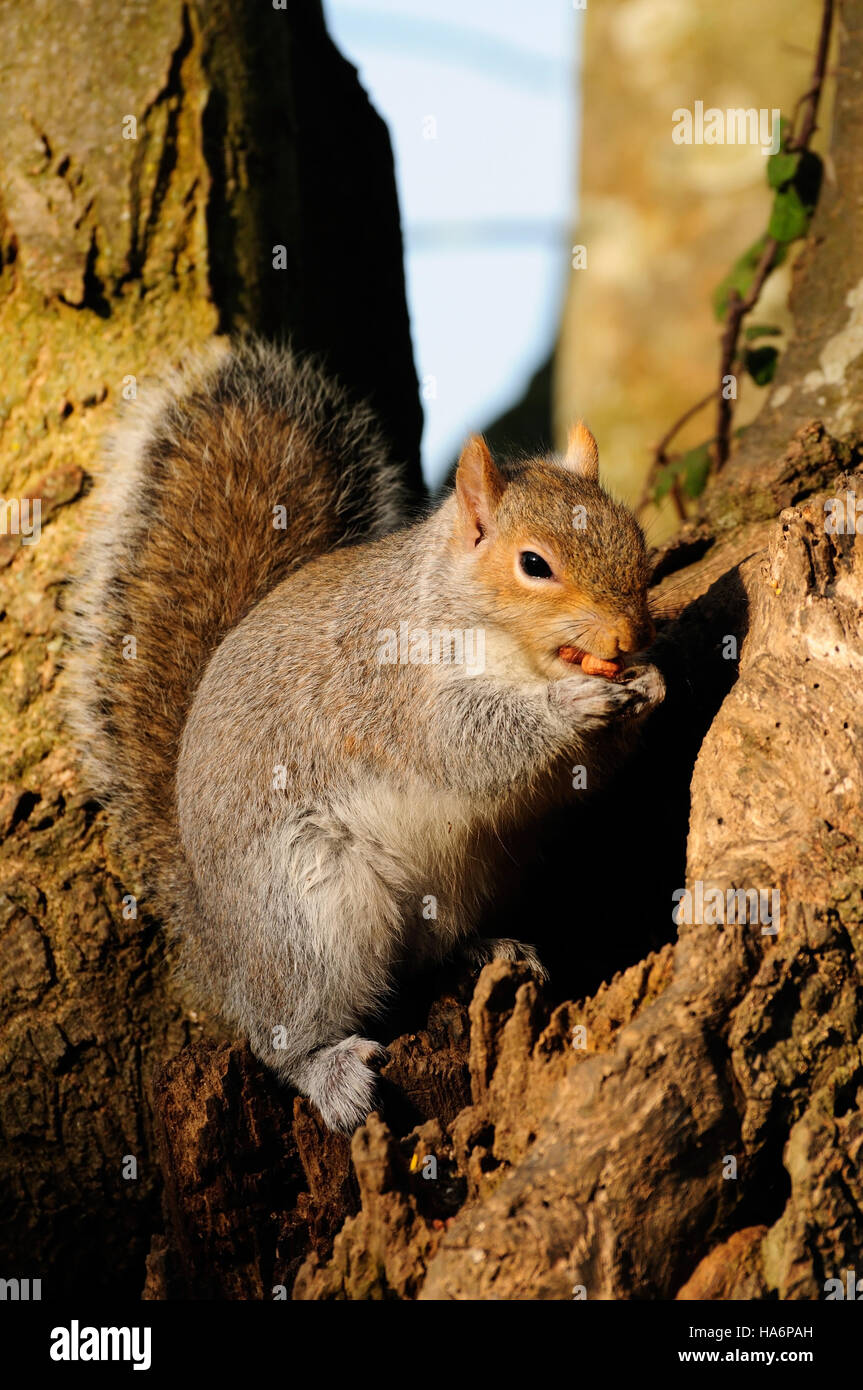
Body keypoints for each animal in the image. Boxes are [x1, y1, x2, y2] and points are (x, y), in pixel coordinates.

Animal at [67, 339, 665, 1132]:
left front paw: (649, 684)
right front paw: (568, 703)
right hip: (308, 911)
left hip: (469, 876)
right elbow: (467, 745)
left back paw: (488, 951)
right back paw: (329, 1073)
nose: (630, 636)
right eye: (533, 564)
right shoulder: (392, 692)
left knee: (426, 952)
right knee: (282, 1033)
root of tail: (216, 941)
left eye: (635, 536)